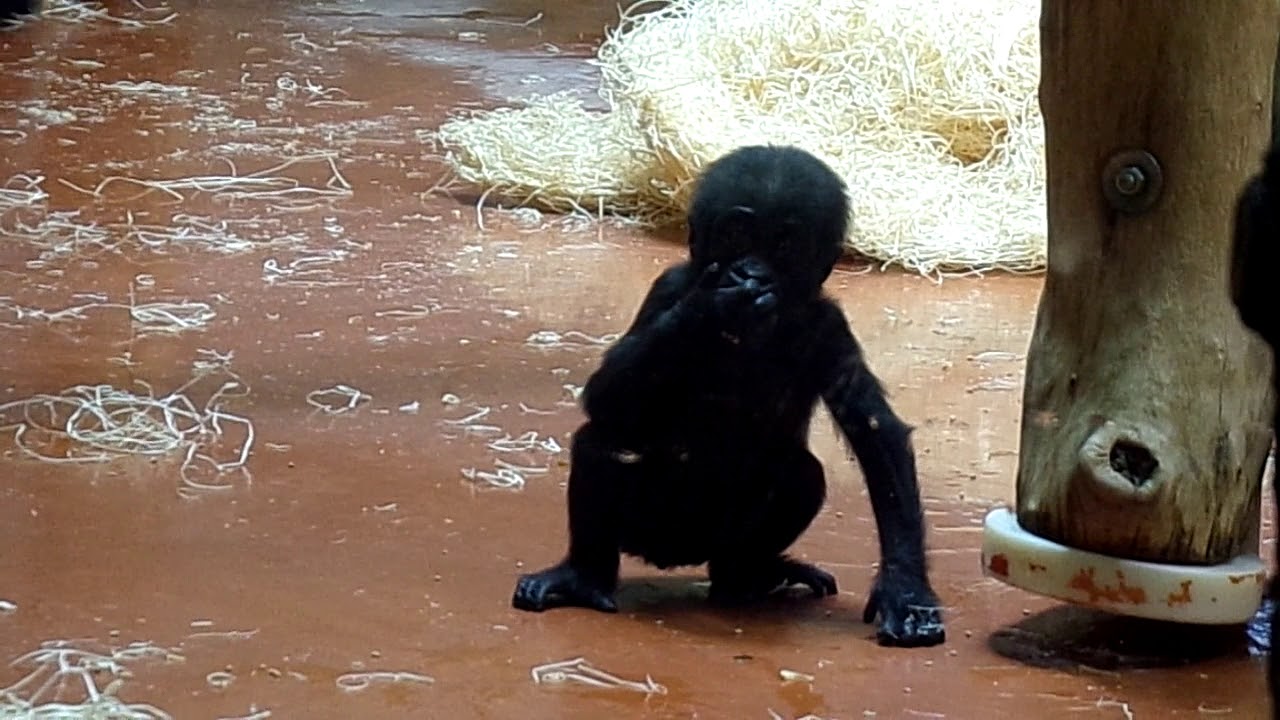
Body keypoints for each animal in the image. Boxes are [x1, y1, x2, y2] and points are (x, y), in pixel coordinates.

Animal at [510, 144, 946, 647]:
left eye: (784, 245)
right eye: (736, 234)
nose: (750, 274)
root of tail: (677, 556)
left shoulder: (828, 327)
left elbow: (875, 431)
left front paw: (906, 594)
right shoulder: (668, 286)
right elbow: (607, 398)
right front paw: (705, 307)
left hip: (719, 541)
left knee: (799, 475)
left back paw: (750, 575)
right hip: (646, 530)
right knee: (603, 443)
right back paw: (583, 577)